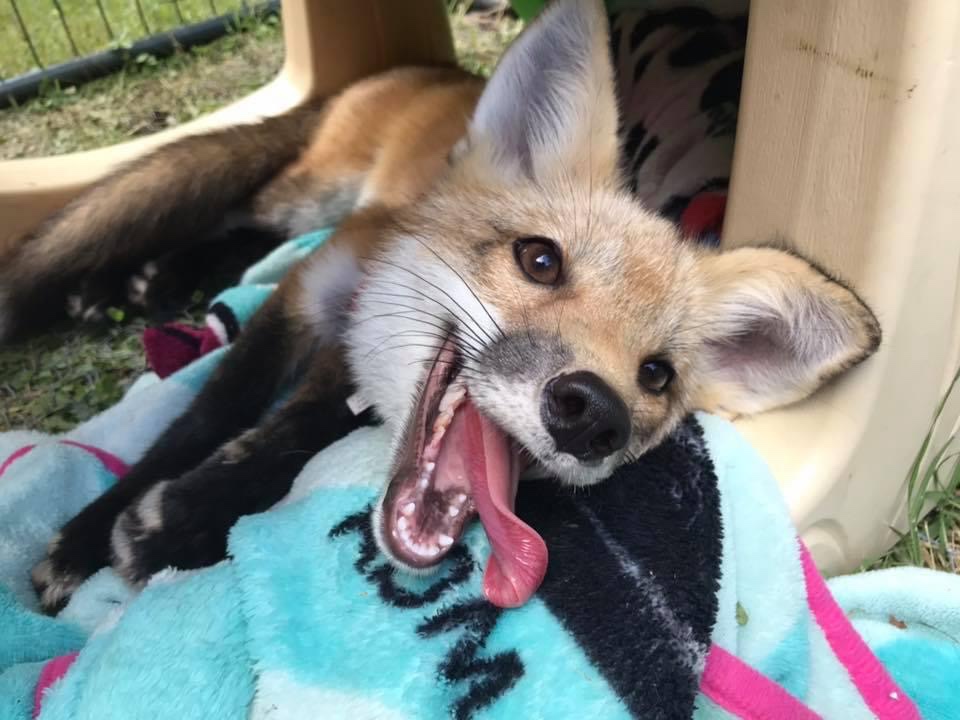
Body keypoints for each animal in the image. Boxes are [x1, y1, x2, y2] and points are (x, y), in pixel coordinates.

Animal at [5, 0, 880, 615]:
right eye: (539, 260)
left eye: (657, 375)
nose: (592, 413)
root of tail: (429, 71)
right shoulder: (309, 290)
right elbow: (202, 420)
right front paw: (90, 533)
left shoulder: (336, 345)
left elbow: (298, 431)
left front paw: (181, 522)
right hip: (310, 196)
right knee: (236, 215)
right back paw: (127, 281)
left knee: (243, 233)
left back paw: (139, 284)